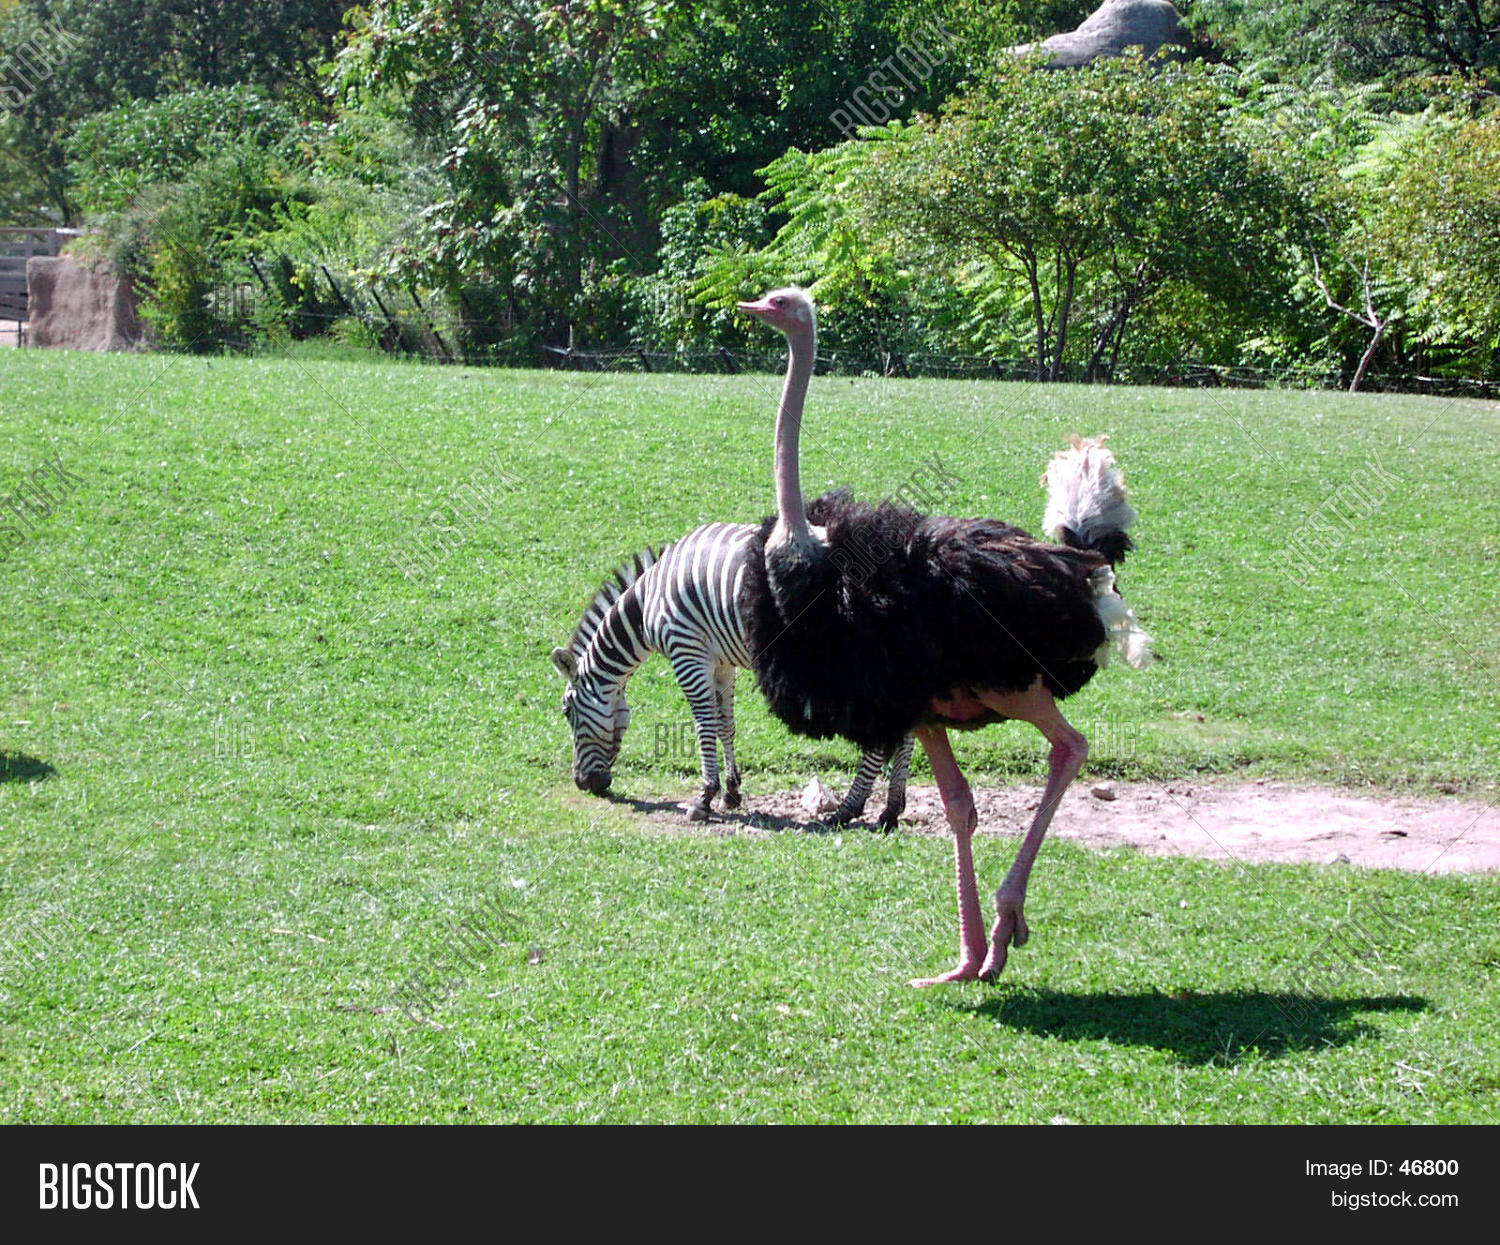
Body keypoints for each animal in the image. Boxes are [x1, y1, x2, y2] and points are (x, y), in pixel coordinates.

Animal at [552, 521, 914, 827]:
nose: (584, 784)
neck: (644, 607)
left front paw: (704, 798)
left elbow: (704, 724)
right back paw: (890, 810)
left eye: (568, 712)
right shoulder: (721, 662)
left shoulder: (687, 652)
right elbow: (726, 725)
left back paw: (850, 809)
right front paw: (731, 791)